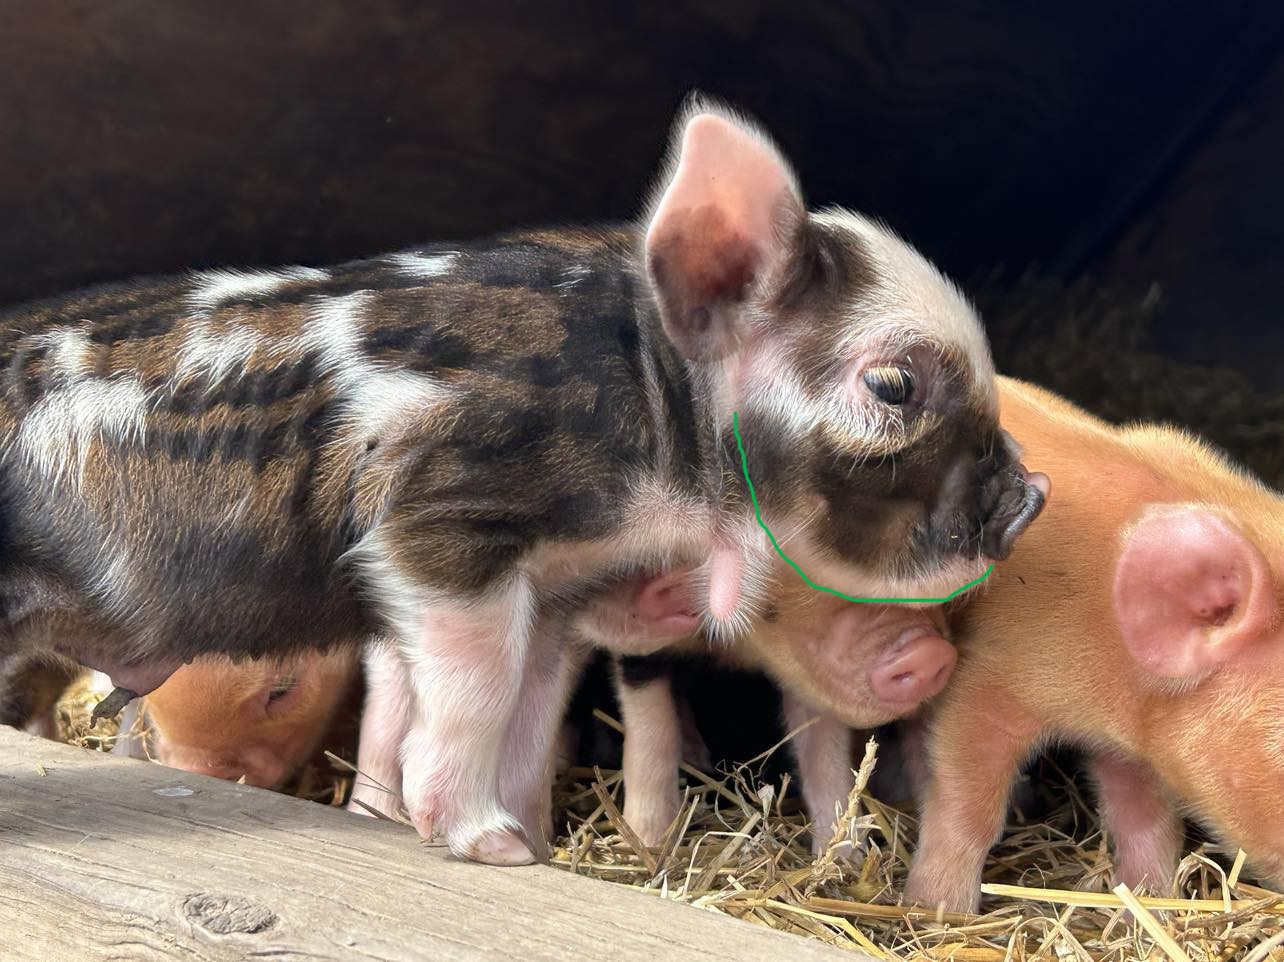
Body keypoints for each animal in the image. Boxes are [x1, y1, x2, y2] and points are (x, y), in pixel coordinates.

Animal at [0, 97, 1042, 865]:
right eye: (892, 386)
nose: (1032, 499)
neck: (654, 409)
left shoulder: (555, 590)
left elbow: (532, 714)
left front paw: (537, 846)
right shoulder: (444, 525)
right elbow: (476, 693)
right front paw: (491, 847)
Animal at [904, 376, 1284, 913]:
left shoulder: (1128, 744)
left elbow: (1146, 820)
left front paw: (1149, 902)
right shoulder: (991, 677)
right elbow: (969, 806)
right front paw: (936, 911)